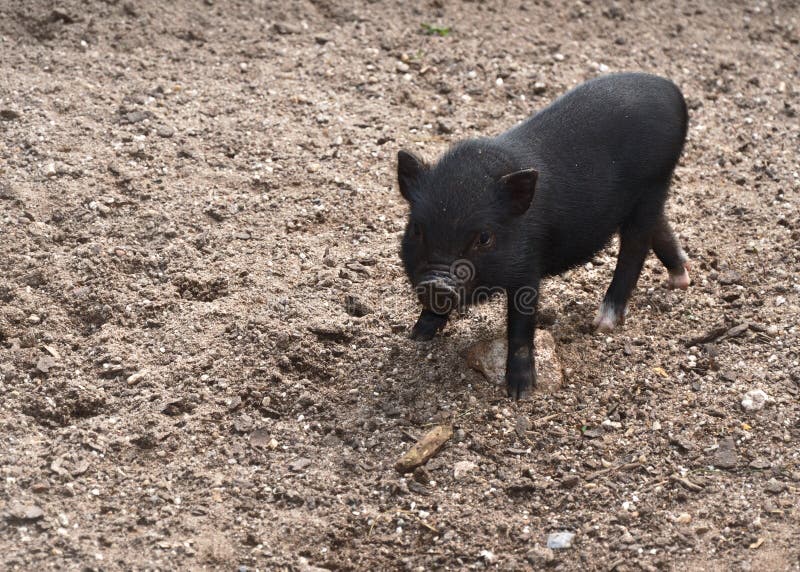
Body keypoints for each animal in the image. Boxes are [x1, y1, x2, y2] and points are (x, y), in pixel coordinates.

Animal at [397, 72, 690, 399]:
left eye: (484, 238)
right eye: (417, 229)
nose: (436, 283)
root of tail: (672, 90)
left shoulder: (528, 266)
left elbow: (521, 325)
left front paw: (520, 392)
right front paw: (417, 335)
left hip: (654, 185)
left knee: (635, 247)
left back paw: (603, 323)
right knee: (659, 227)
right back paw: (680, 279)